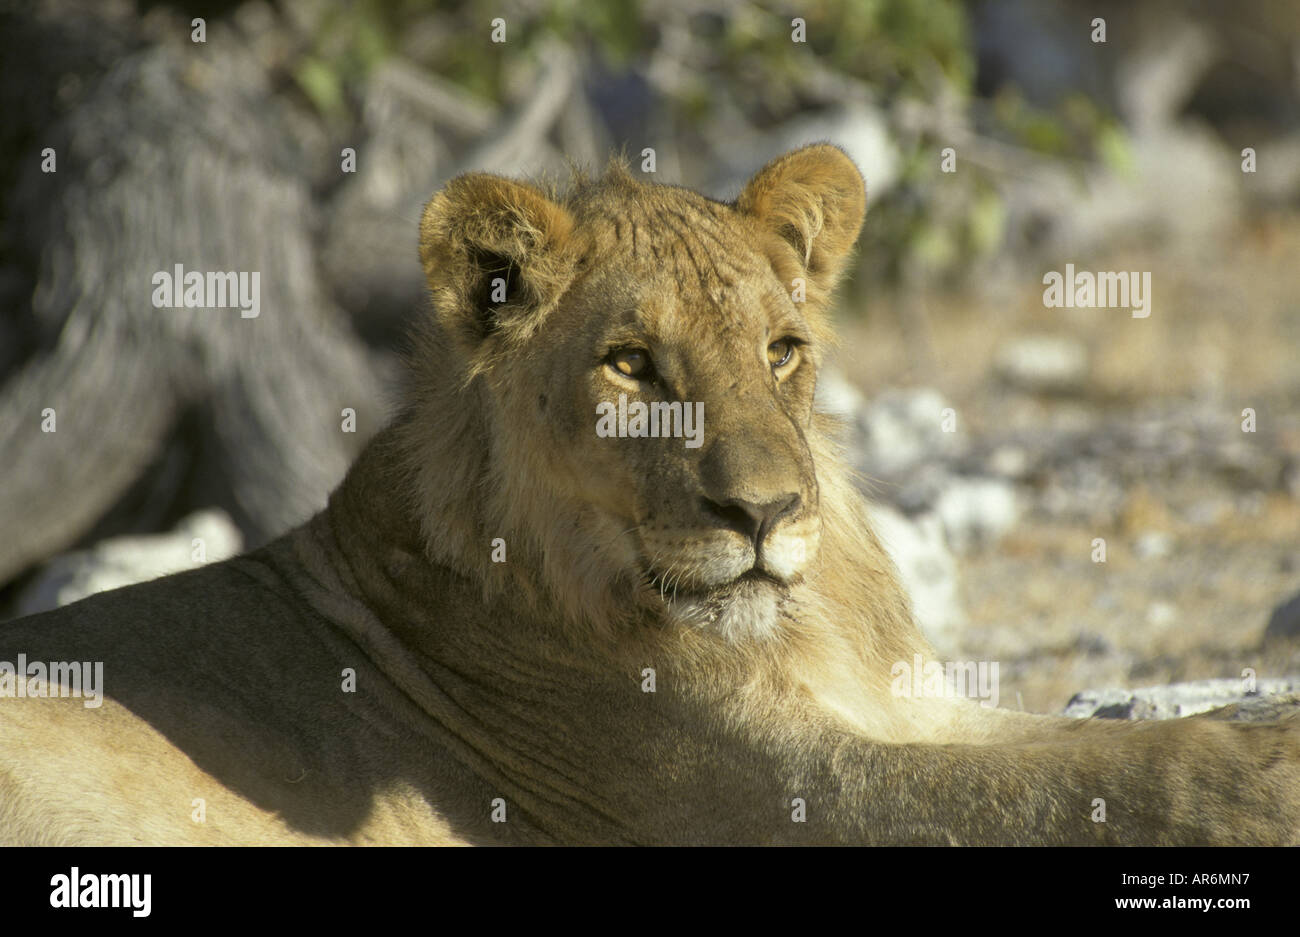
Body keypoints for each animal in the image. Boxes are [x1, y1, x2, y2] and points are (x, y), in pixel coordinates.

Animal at [1, 144, 1297, 845]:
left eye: (781, 351)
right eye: (631, 366)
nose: (766, 517)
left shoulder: (912, 708)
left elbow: (1094, 745)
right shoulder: (782, 796)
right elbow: (1092, 780)